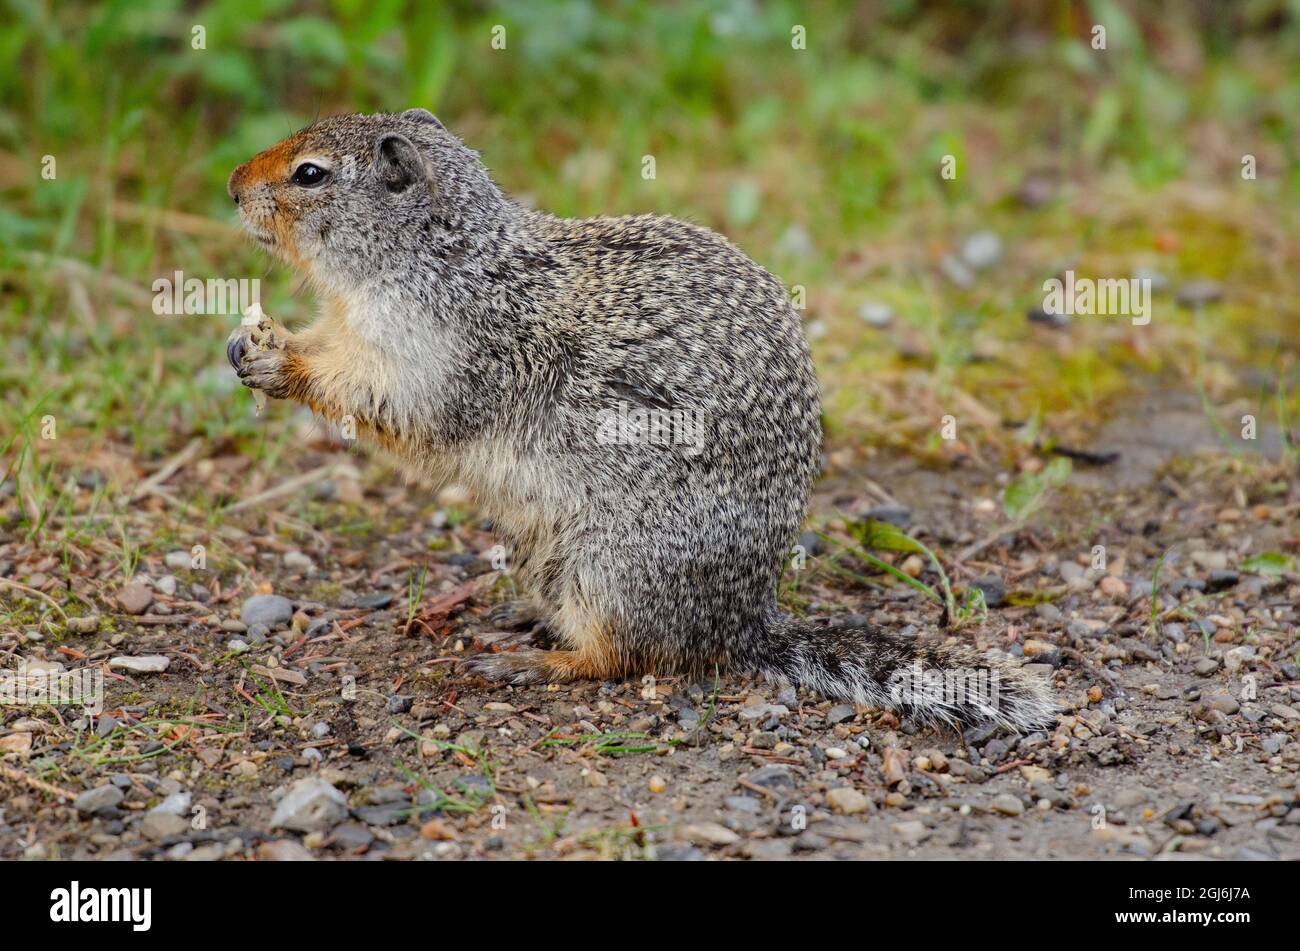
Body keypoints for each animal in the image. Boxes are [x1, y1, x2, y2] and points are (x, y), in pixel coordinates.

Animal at [225, 110, 1055, 731]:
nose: (231, 185)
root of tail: (743, 618)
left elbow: (392, 405)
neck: (433, 260)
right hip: (551, 557)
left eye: (310, 174)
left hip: (614, 565)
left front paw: (283, 365)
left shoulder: (445, 353)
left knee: (626, 655)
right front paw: (255, 343)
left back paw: (537, 661)